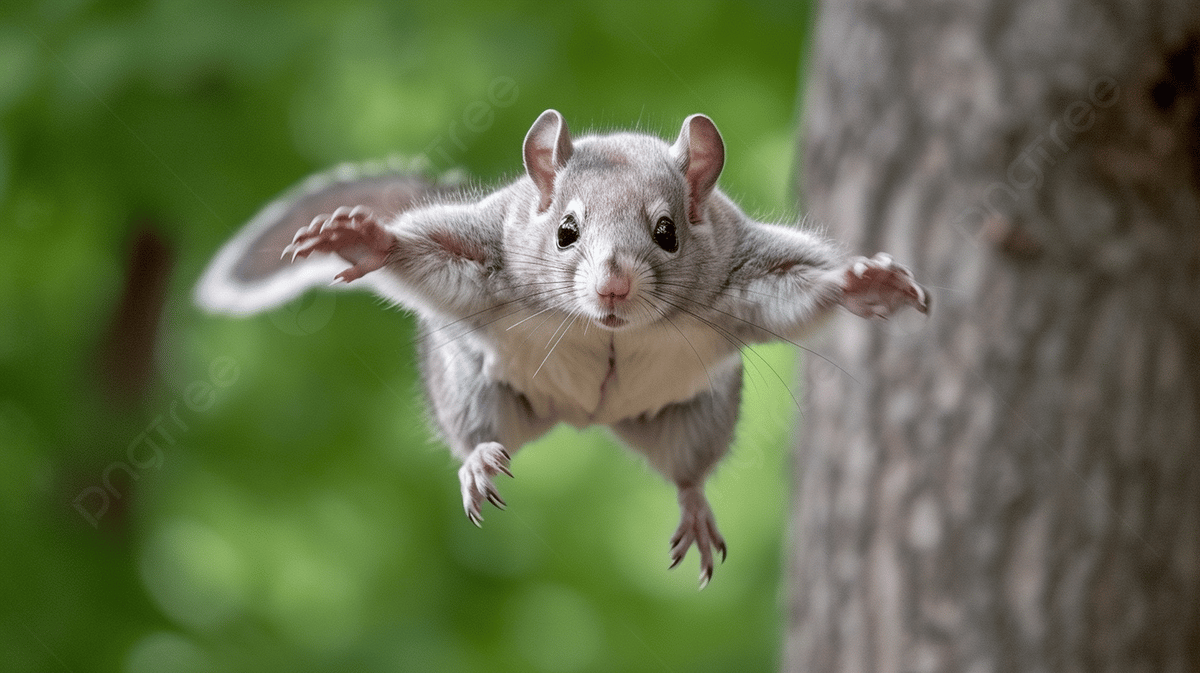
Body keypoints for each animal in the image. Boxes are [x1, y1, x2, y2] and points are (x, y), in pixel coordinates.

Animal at [195, 109, 928, 587]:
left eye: (668, 232)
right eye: (566, 230)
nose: (612, 285)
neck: (608, 329)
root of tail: (588, 420)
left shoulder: (743, 275)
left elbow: (800, 292)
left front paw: (863, 284)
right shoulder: (490, 253)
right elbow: (429, 257)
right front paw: (368, 240)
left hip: (692, 415)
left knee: (687, 470)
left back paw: (694, 506)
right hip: (476, 388)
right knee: (473, 434)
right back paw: (479, 460)